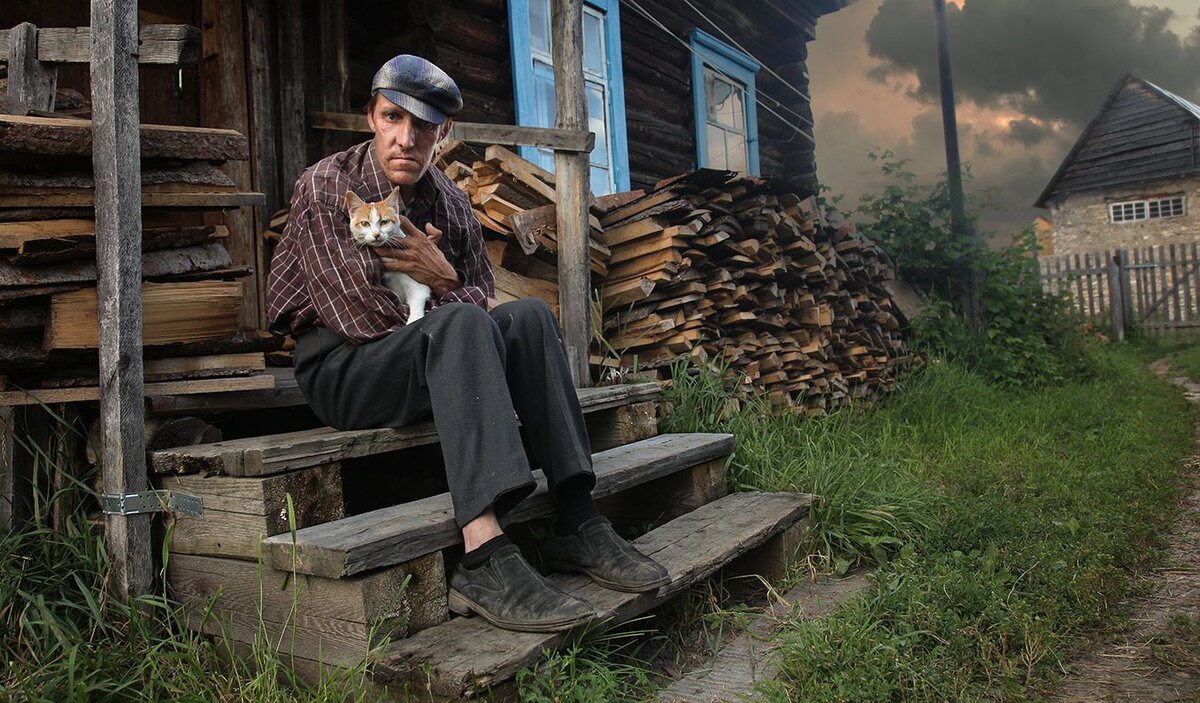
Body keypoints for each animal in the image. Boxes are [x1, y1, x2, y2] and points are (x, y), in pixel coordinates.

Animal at [348, 187, 432, 326]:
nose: (376, 234)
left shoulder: (419, 288)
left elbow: (417, 301)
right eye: (365, 223)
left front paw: (413, 320)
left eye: (384, 222)